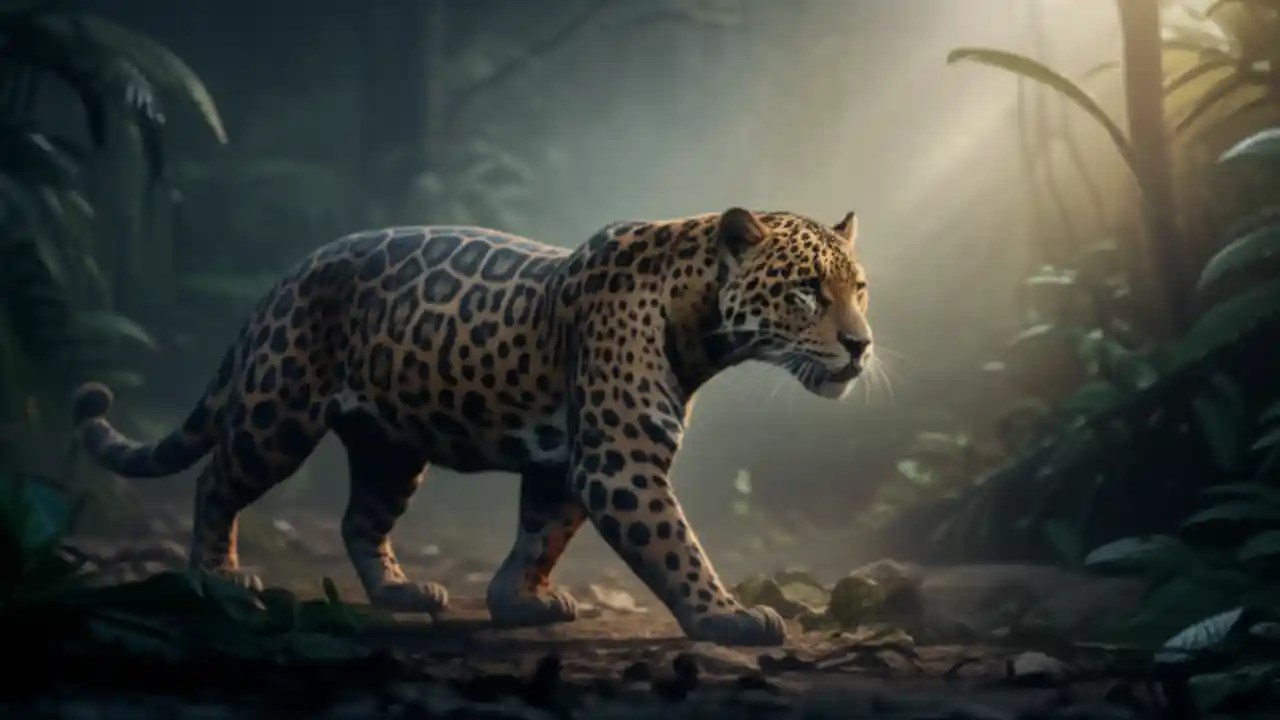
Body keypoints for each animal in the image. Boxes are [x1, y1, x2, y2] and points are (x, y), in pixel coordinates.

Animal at [71, 206, 873, 647]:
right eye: (807, 290)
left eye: (860, 288)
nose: (861, 344)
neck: (699, 320)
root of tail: (287, 274)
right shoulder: (618, 460)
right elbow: (677, 549)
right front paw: (728, 618)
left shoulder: (564, 462)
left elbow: (540, 533)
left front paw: (519, 601)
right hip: (279, 411)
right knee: (216, 478)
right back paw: (220, 577)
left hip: (392, 447)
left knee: (361, 519)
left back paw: (401, 593)